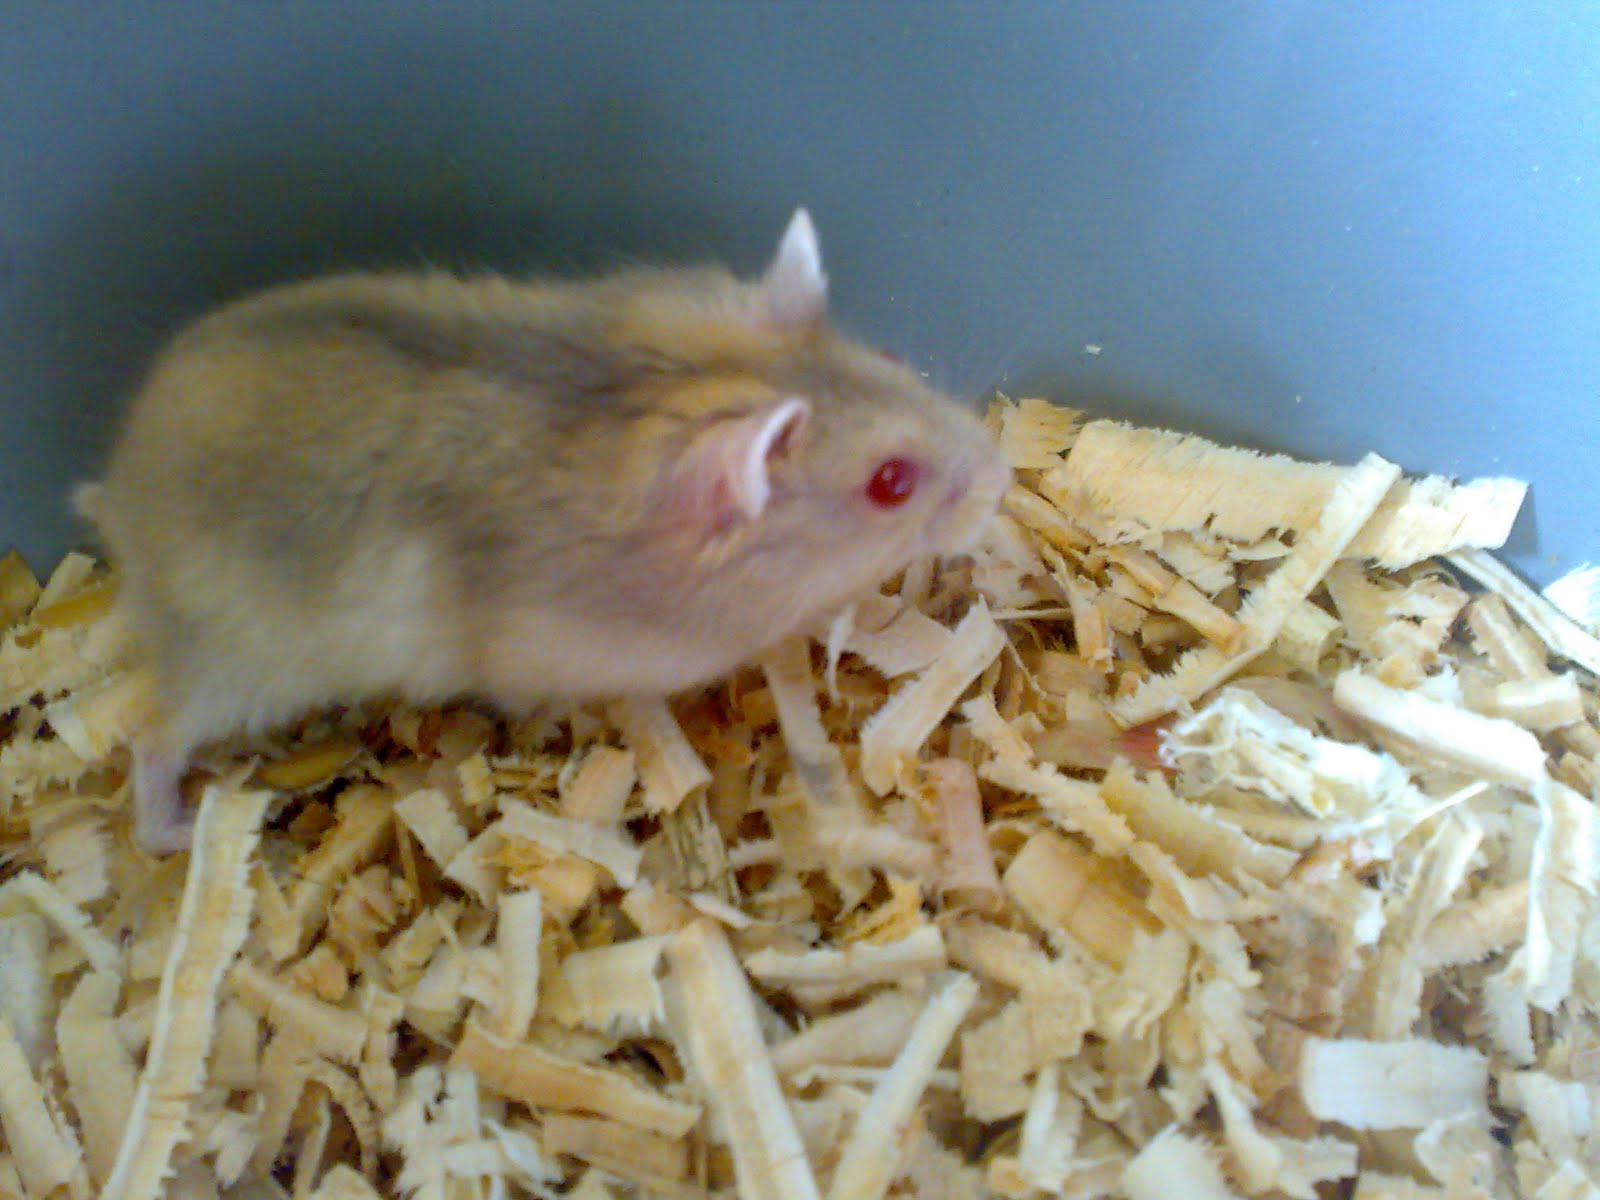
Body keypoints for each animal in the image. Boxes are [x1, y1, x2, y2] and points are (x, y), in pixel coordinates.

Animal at [83, 209, 1011, 853]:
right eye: (892, 483)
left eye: (892, 357)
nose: (1003, 478)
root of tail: (120, 495)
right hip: (236, 668)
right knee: (152, 737)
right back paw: (177, 830)